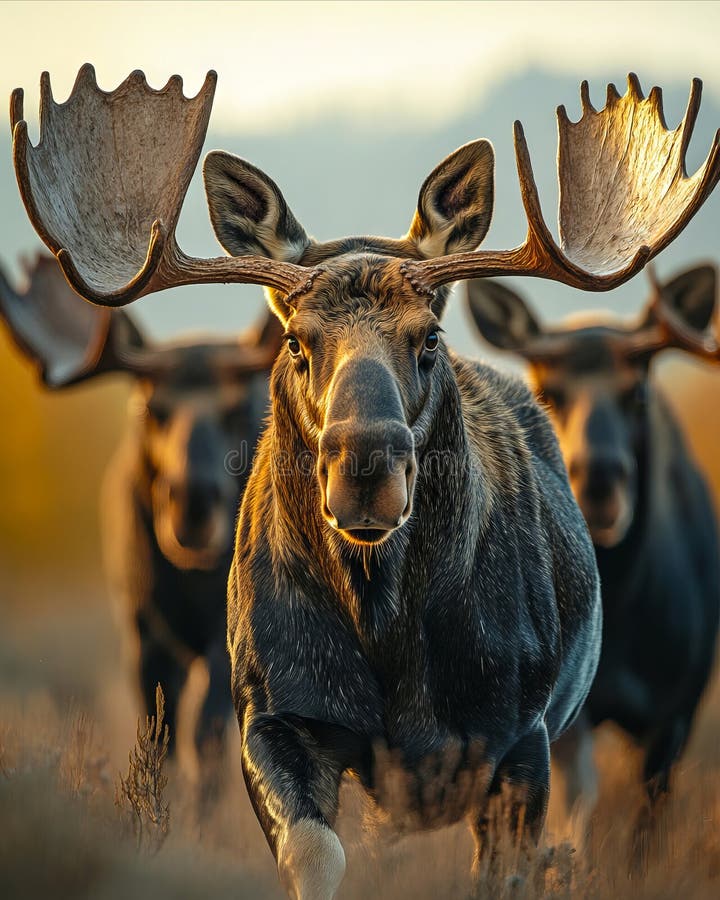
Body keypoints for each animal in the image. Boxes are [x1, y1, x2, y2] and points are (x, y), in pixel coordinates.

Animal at [0, 251, 282, 775]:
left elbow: (207, 736)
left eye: (237, 409)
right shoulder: (141, 629)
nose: (193, 500)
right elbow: (158, 735)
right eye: (151, 409)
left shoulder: (231, 630)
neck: (191, 584)